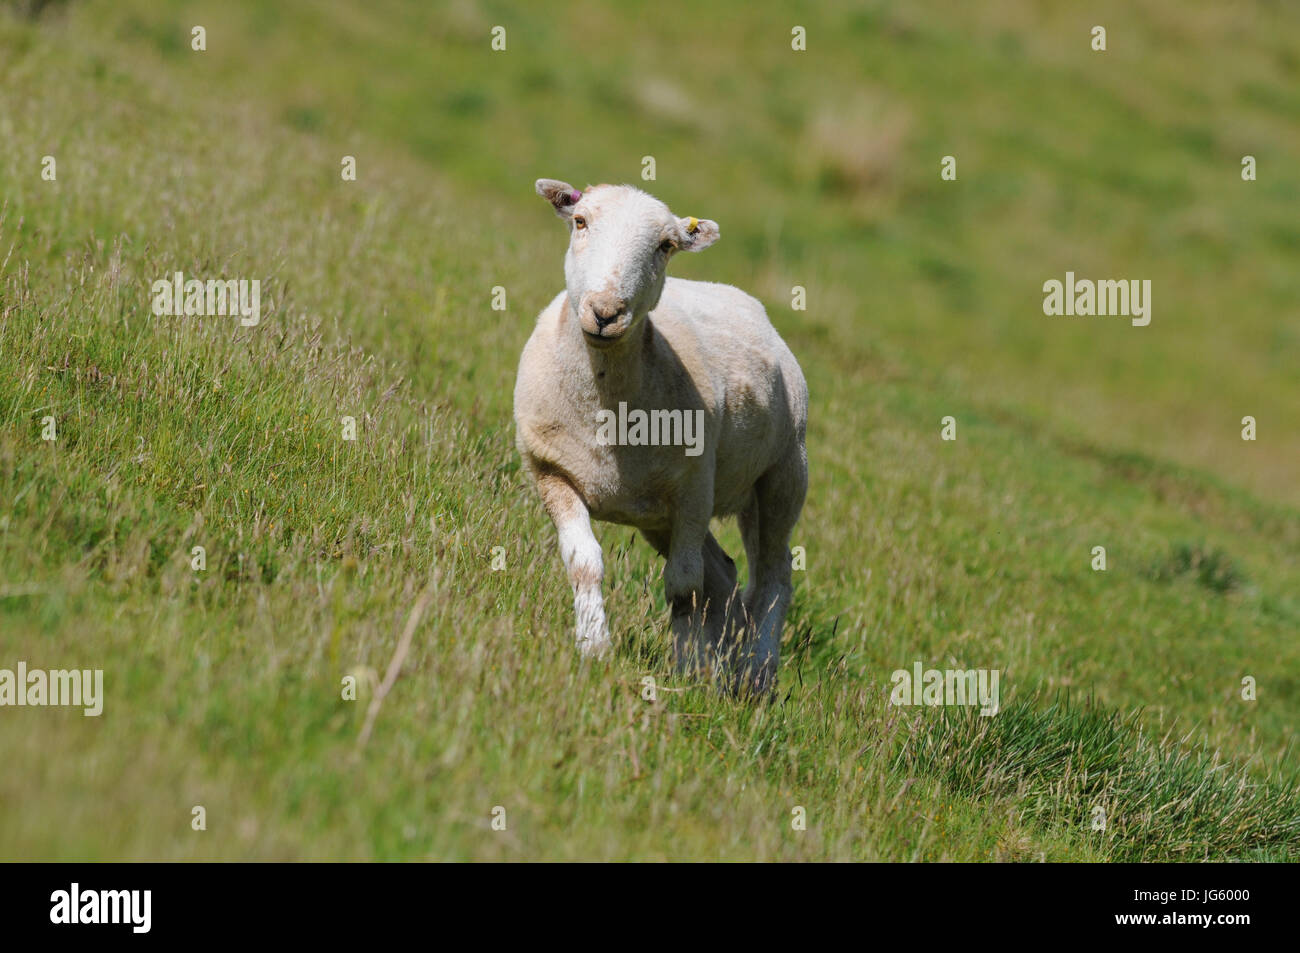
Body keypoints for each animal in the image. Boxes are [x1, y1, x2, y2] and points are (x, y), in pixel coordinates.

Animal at [513, 179, 808, 695]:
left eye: (665, 246)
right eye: (580, 221)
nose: (606, 312)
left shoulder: (693, 490)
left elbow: (683, 586)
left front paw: (686, 668)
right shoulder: (551, 470)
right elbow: (584, 562)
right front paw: (594, 648)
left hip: (784, 474)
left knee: (774, 578)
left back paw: (756, 674)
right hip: (657, 514)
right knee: (725, 572)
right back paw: (726, 664)